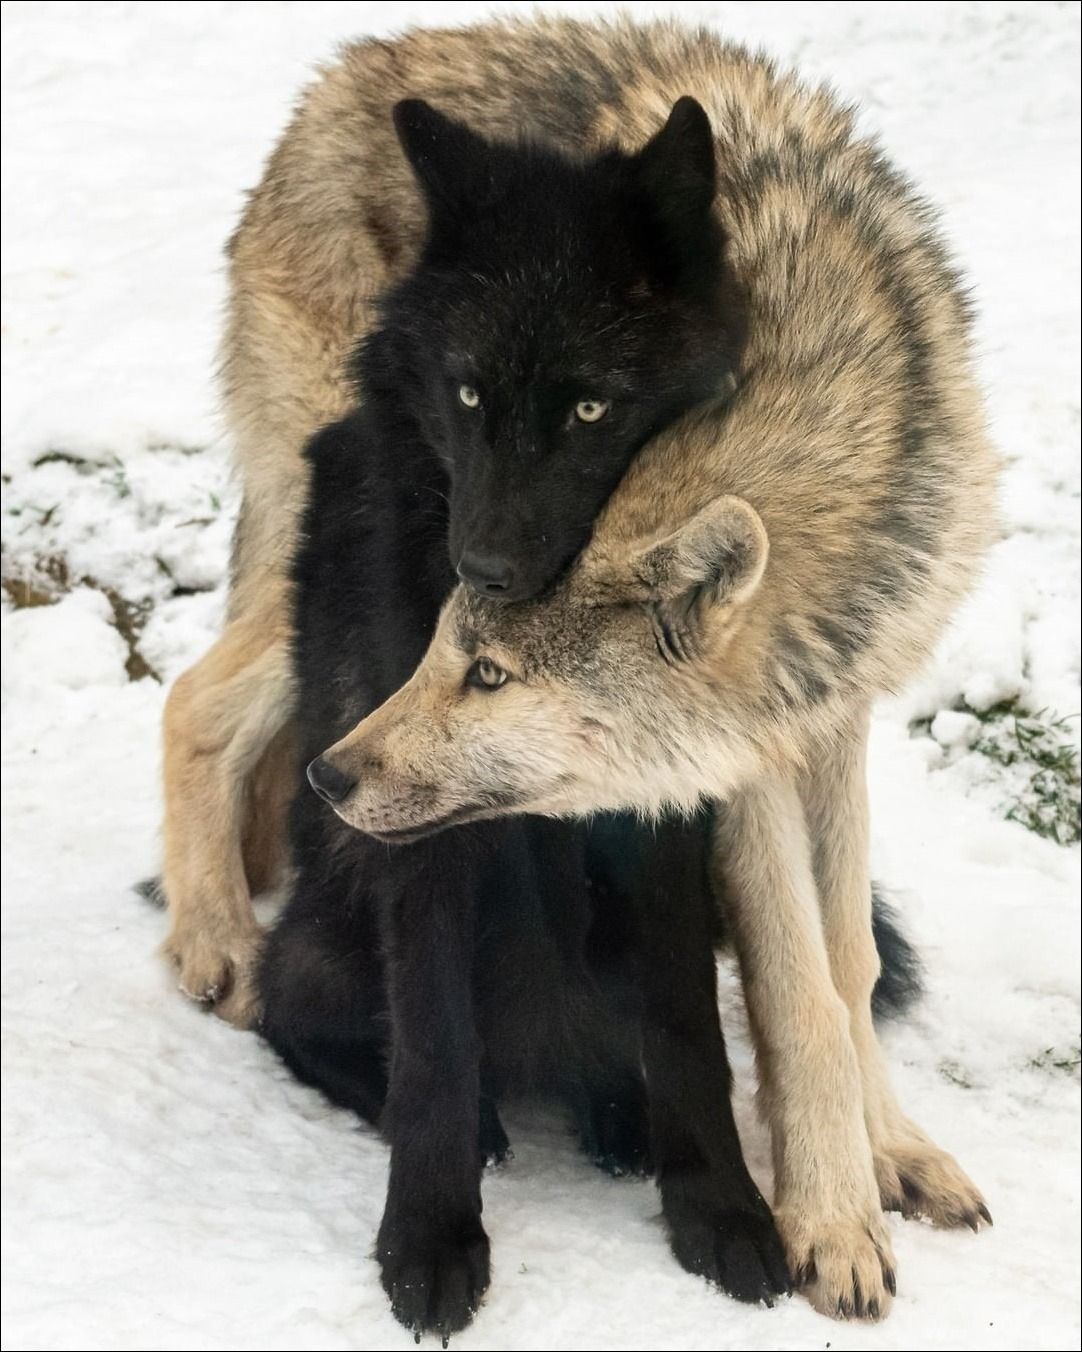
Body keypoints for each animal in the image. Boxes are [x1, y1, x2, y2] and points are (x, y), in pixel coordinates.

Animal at [302, 92, 1000, 1319]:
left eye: (491, 675)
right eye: (471, 393)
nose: (328, 774)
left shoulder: (812, 720)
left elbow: (821, 976)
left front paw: (812, 1188)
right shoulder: (740, 766)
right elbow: (787, 987)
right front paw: (827, 1221)